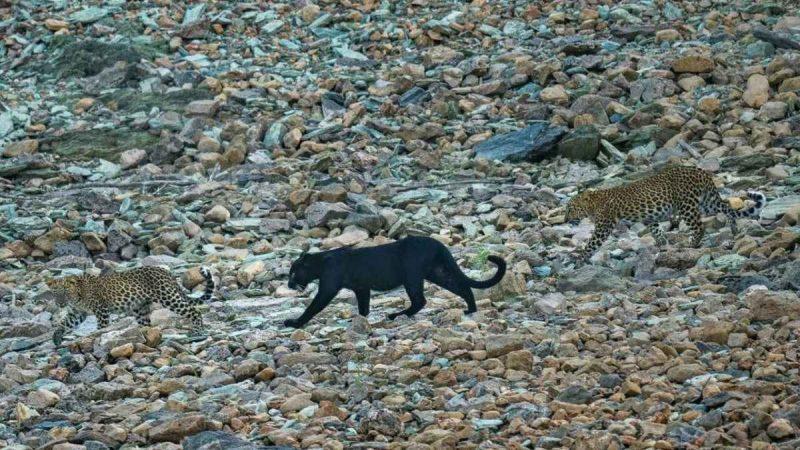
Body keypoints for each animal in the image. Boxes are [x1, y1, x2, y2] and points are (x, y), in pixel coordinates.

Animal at [47, 266, 215, 345]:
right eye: (55, 293)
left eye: (66, 292)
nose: (60, 303)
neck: (78, 296)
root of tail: (168, 273)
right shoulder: (77, 313)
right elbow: (64, 323)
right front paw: (56, 337)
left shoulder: (101, 310)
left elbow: (102, 327)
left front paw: (97, 338)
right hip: (140, 308)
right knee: (146, 324)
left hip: (168, 297)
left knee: (194, 311)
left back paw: (197, 331)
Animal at [565, 165, 766, 261]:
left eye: (570, 208)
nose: (565, 219)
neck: (594, 203)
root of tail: (701, 171)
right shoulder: (650, 218)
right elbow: (657, 231)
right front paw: (662, 245)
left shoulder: (603, 226)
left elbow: (592, 244)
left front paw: (579, 260)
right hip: (706, 202)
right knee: (727, 206)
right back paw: (734, 229)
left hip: (687, 205)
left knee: (699, 227)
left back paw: (690, 245)